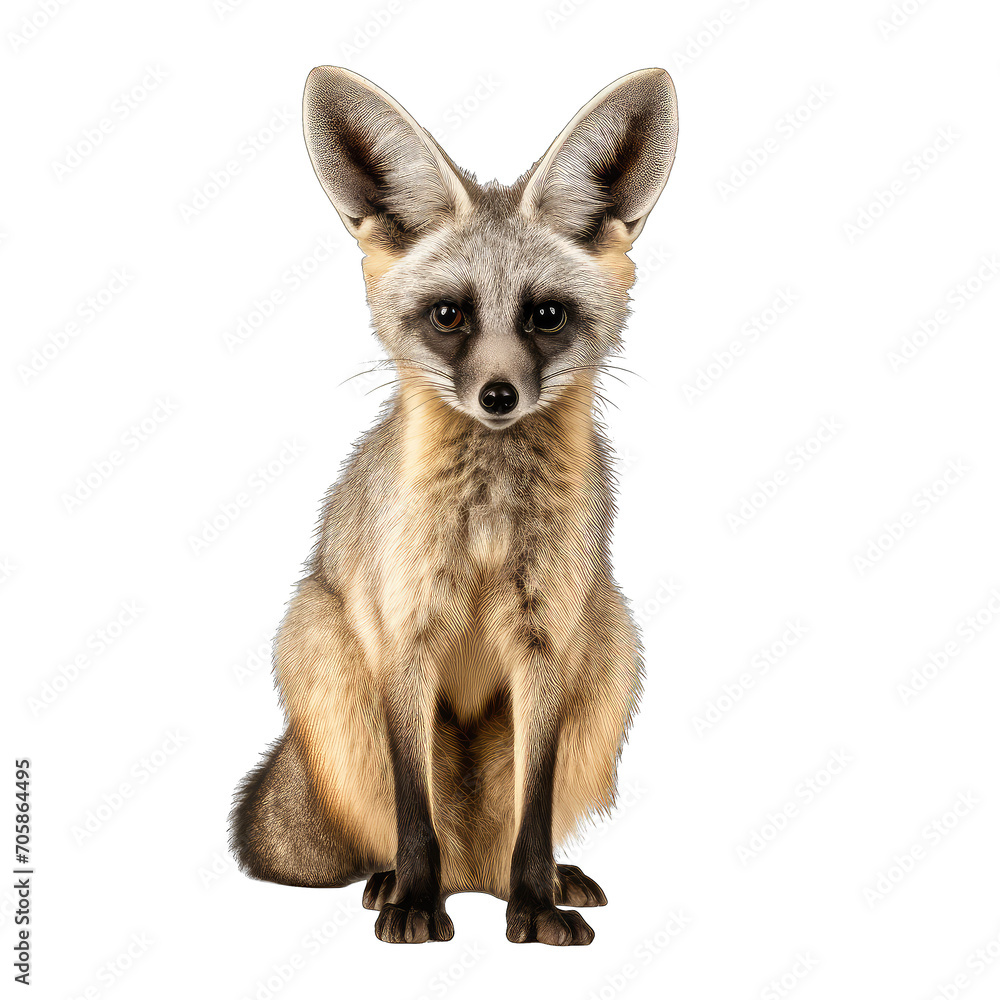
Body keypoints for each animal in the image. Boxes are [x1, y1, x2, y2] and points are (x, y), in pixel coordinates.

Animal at [230, 65, 678, 946]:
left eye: (545, 315)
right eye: (449, 315)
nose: (498, 397)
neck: (487, 526)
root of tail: (472, 868)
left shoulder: (548, 641)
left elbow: (535, 809)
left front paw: (534, 906)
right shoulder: (403, 634)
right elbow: (413, 809)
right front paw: (412, 900)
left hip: (613, 641)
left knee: (507, 837)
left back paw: (531, 884)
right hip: (318, 641)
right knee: (410, 827)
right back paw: (394, 884)